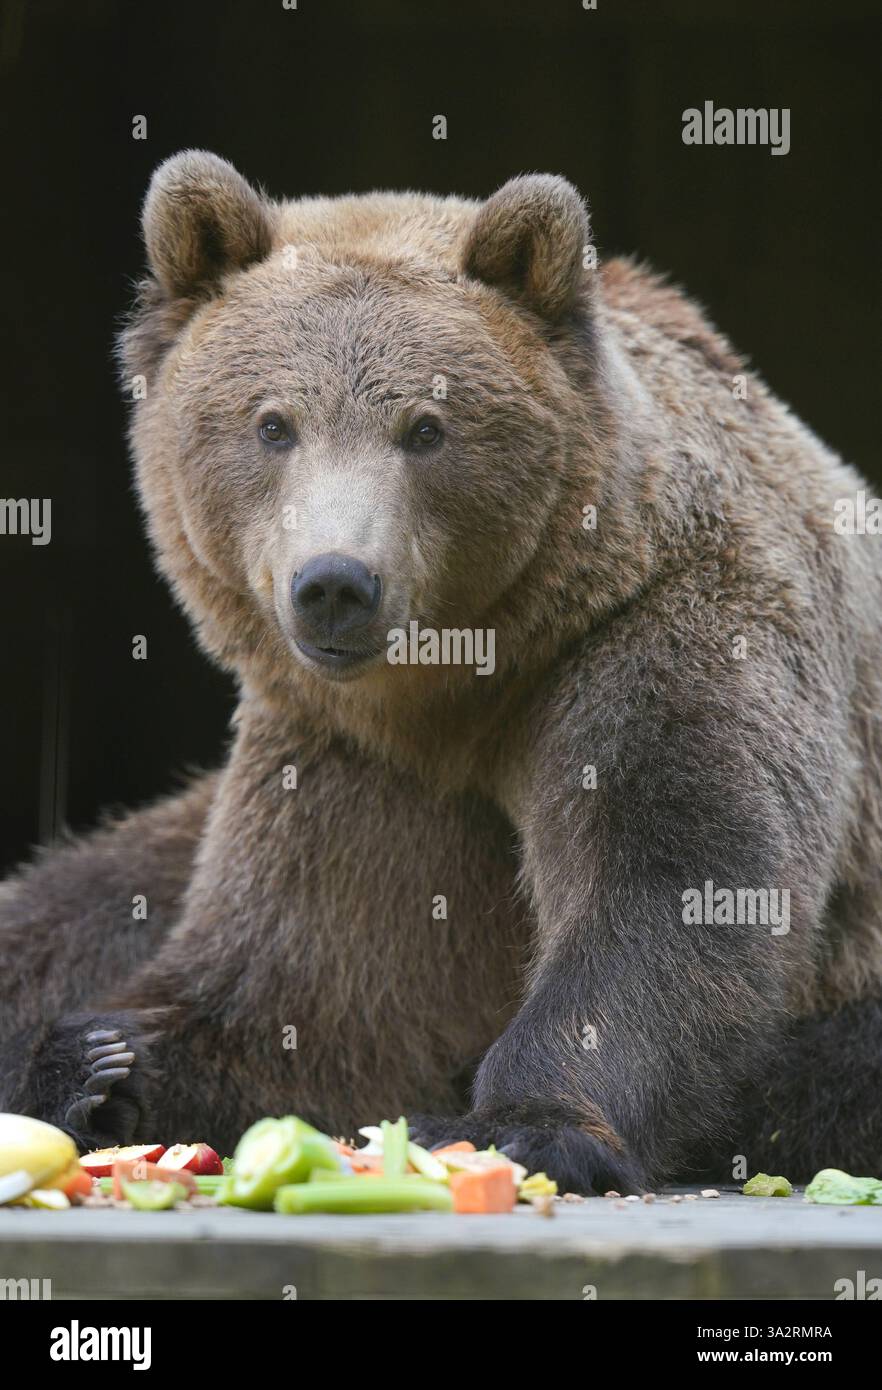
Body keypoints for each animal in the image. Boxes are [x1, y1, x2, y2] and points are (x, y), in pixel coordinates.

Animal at [2, 150, 881, 1194]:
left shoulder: (660, 627)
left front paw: (527, 1124)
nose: (334, 584)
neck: (462, 690)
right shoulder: (352, 759)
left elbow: (671, 878)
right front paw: (99, 1065)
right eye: (273, 424)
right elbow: (317, 982)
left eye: (427, 427)